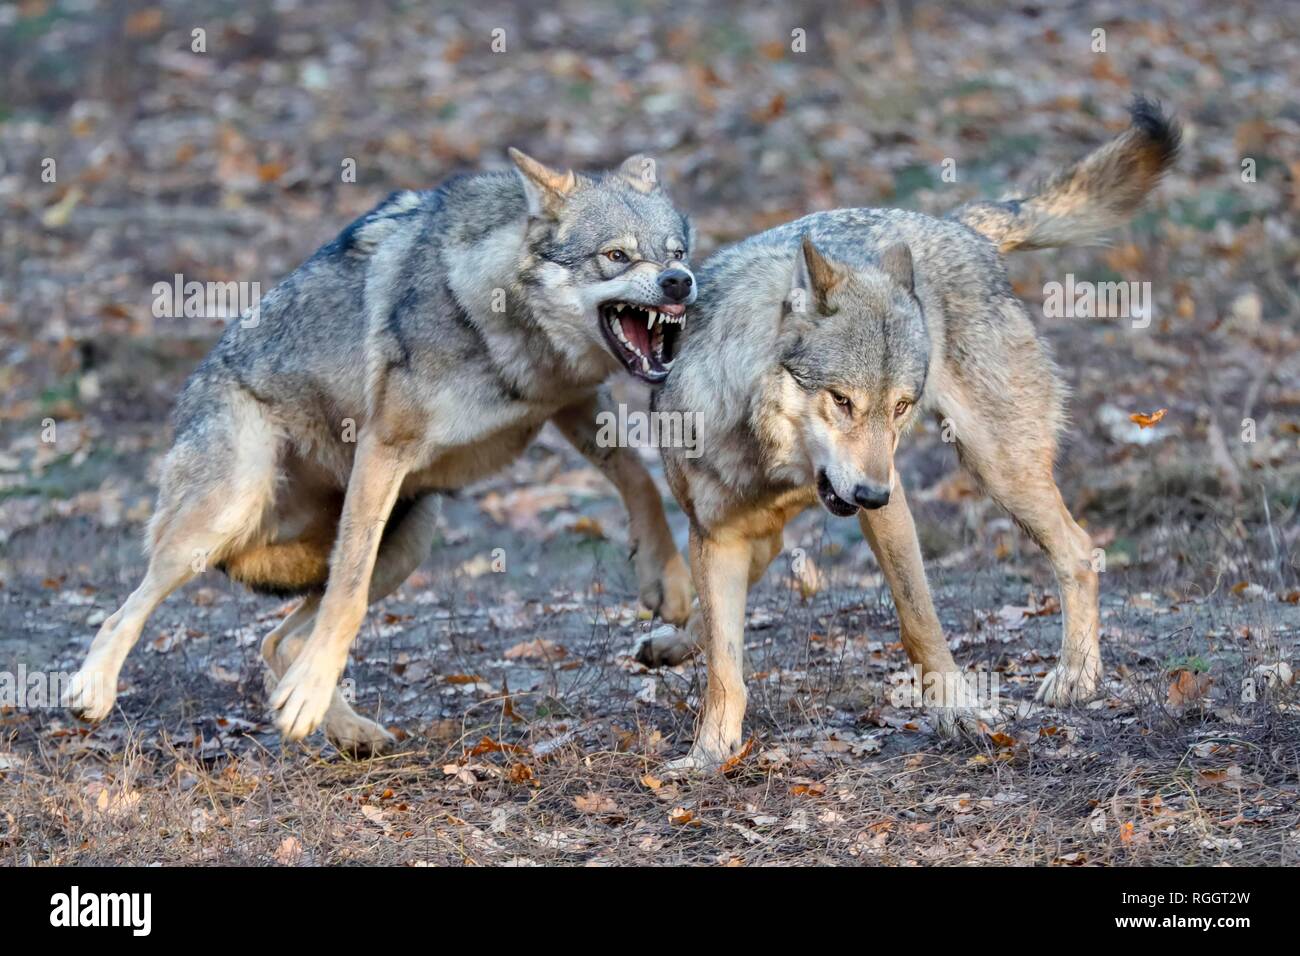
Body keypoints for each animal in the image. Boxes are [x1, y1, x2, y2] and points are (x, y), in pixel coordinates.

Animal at [63, 149, 698, 754]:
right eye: (617, 256)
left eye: (676, 250)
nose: (680, 282)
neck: (499, 316)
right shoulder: (383, 446)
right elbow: (346, 598)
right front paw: (308, 696)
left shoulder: (570, 402)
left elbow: (640, 477)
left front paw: (666, 577)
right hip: (229, 512)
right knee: (129, 609)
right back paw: (94, 690)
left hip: (407, 545)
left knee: (276, 640)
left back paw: (343, 727)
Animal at [644, 98, 1179, 771]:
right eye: (841, 401)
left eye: (900, 406)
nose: (870, 493)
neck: (769, 452)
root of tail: (958, 226)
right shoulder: (717, 530)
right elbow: (724, 661)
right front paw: (711, 751)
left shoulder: (889, 504)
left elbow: (919, 615)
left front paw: (960, 713)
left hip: (999, 468)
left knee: (1081, 552)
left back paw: (1076, 678)